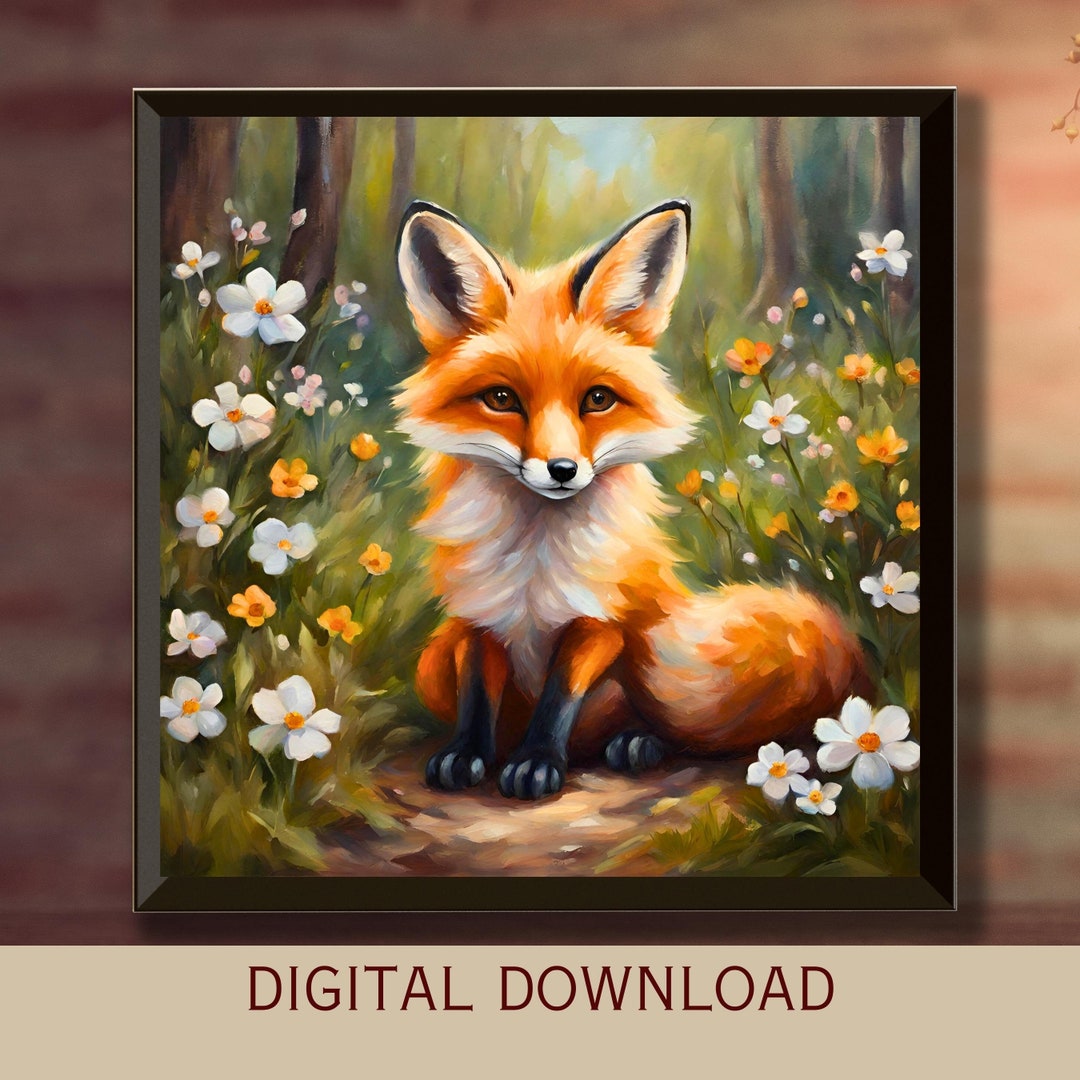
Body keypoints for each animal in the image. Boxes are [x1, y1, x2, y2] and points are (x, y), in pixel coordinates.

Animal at [393, 198, 867, 801]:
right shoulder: (478, 617)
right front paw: (466, 754)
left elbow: (560, 695)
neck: (534, 563)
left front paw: (537, 762)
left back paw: (639, 743)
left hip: (663, 664)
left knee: (682, 727)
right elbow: (478, 694)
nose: (563, 470)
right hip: (432, 663)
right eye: (501, 399)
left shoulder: (600, 620)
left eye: (597, 399)